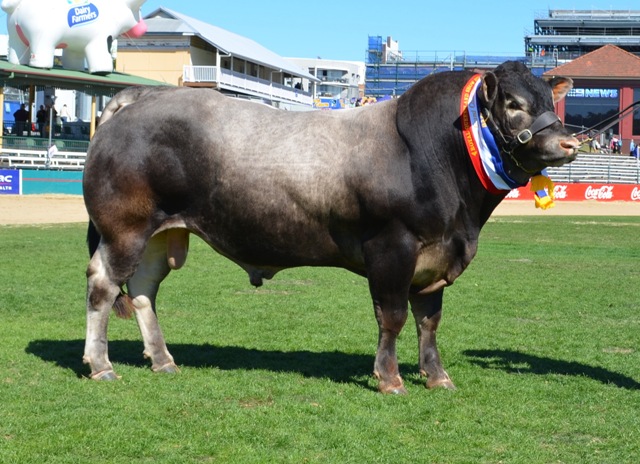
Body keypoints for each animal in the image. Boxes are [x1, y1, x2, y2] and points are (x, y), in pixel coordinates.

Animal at [82, 61, 580, 394]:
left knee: (143, 291)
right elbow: (393, 317)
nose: (568, 142)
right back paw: (102, 365)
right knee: (103, 287)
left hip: (161, 235)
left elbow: (429, 321)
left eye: (550, 99)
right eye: (513, 104)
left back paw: (163, 360)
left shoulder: (436, 255)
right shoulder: (393, 247)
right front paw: (390, 378)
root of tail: (138, 98)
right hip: (124, 229)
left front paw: (437, 376)